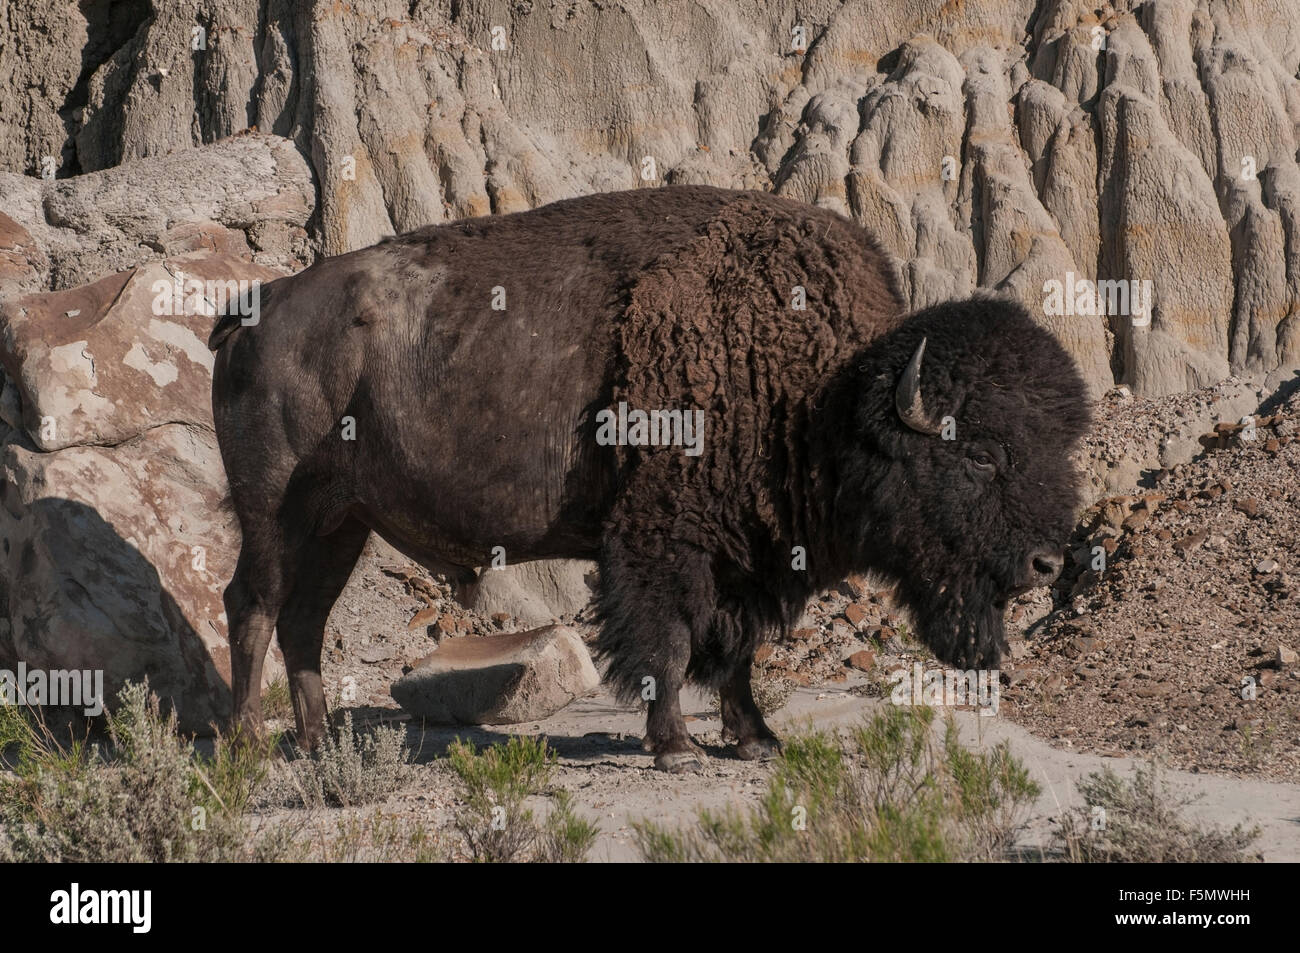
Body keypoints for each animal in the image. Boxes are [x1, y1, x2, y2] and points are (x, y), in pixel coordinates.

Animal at [210, 185, 1086, 774]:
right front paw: (676, 747)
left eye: (1061, 444)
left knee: (304, 621)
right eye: (980, 455)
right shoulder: (663, 543)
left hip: (341, 522)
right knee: (251, 605)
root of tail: (262, 302)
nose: (1048, 560)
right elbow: (669, 641)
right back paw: (248, 745)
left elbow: (734, 650)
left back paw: (317, 745)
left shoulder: (746, 558)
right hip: (275, 510)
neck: (826, 394)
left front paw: (757, 738)